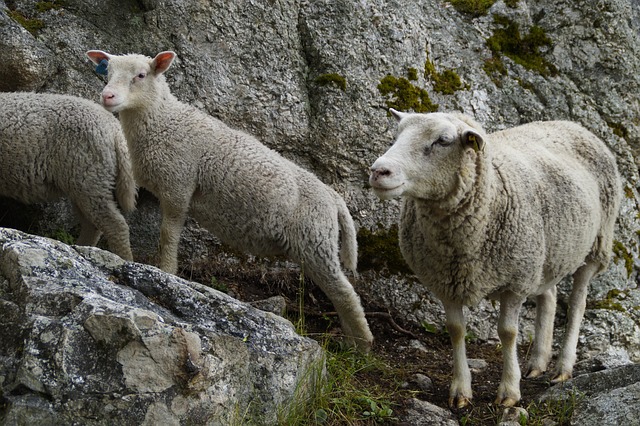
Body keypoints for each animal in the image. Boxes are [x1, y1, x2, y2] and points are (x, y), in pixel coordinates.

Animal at [0, 91, 137, 260]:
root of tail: (115, 129)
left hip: (90, 176)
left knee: (115, 225)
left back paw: (123, 259)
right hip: (85, 182)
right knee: (93, 225)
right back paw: (82, 248)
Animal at [85, 50, 373, 351]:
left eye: (141, 75)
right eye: (107, 73)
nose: (107, 96)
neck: (165, 121)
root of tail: (333, 197)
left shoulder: (179, 185)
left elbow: (168, 235)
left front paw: (166, 272)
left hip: (314, 240)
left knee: (345, 293)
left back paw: (362, 345)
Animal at [369, 109, 622, 407]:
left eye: (443, 140)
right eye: (397, 134)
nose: (378, 171)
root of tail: (570, 124)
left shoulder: (515, 282)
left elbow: (508, 333)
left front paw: (509, 391)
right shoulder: (446, 281)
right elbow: (455, 329)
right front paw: (461, 390)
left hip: (596, 244)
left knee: (576, 305)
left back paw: (563, 367)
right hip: (545, 254)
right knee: (548, 297)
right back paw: (538, 362)